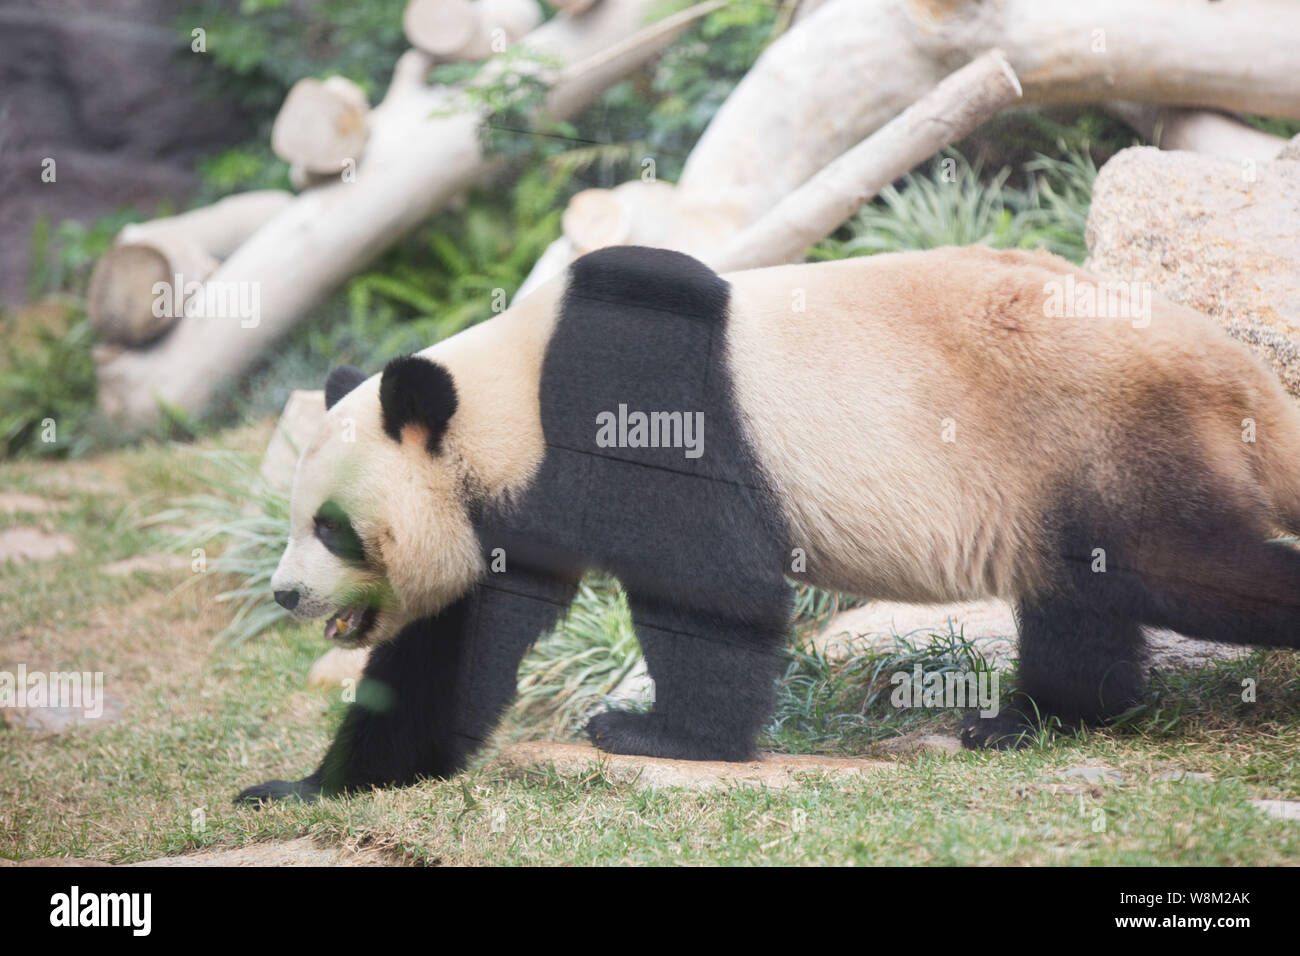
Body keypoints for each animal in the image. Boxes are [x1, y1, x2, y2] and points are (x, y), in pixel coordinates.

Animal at [236, 244, 1300, 804]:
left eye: (330, 528)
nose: (285, 594)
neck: (509, 397)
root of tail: (1240, 372)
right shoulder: (514, 502)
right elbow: (456, 645)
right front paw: (303, 789)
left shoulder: (635, 409)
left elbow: (718, 588)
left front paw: (654, 734)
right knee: (1081, 601)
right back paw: (1028, 720)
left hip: (1106, 428)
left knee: (1190, 566)